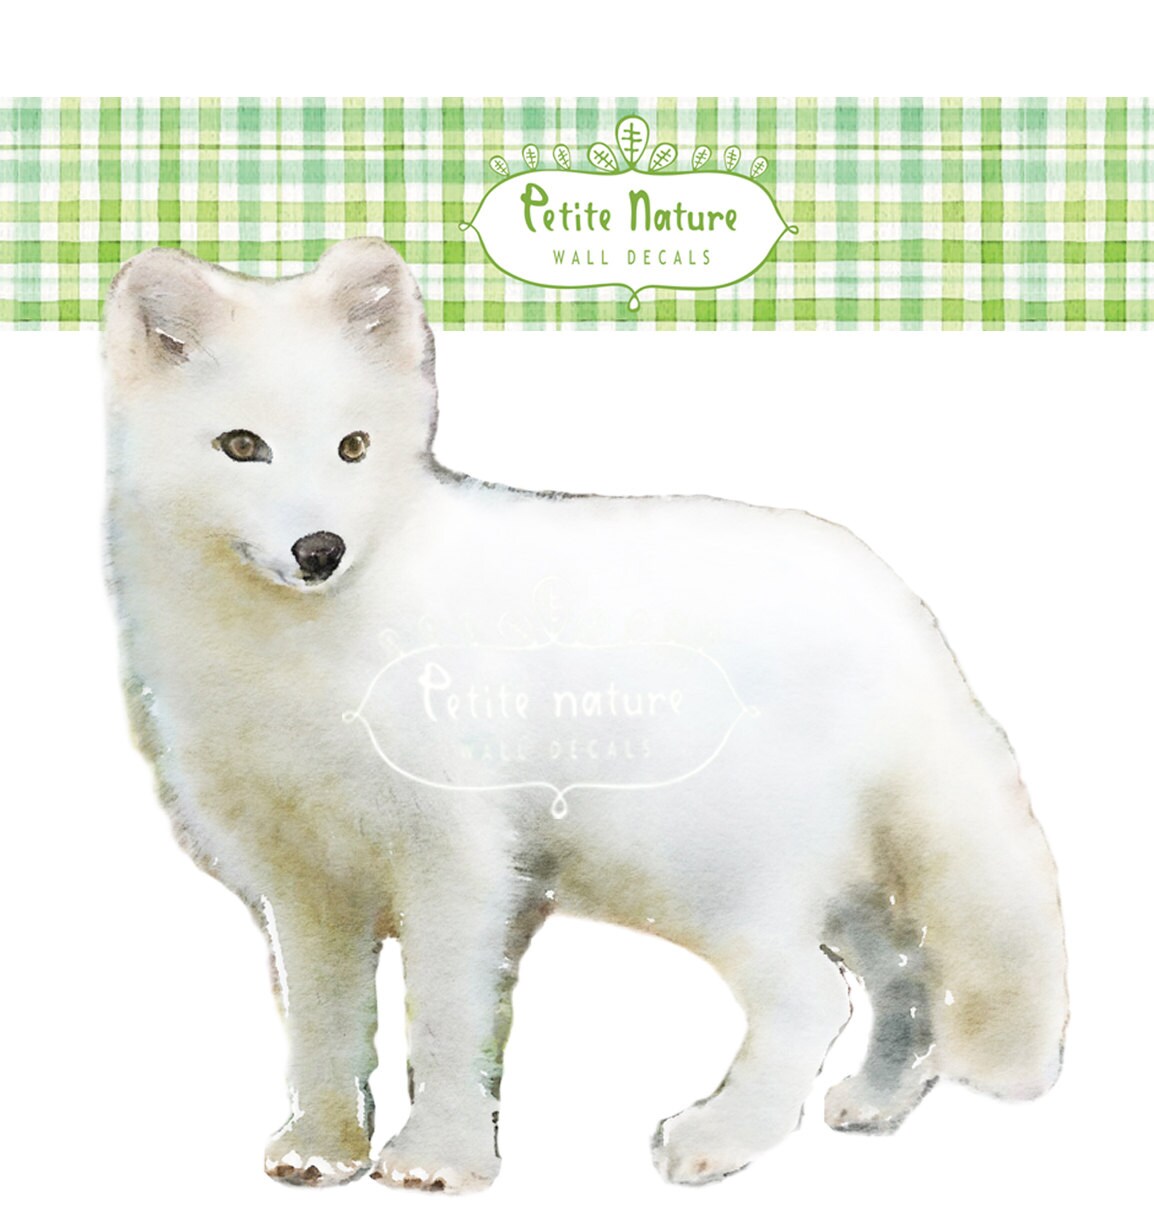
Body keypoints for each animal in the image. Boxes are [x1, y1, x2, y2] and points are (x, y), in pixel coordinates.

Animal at [103, 237, 1068, 1192]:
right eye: (241, 445)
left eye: (353, 446)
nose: (320, 550)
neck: (300, 649)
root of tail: (898, 609)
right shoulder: (306, 882)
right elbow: (321, 1027)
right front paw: (323, 1146)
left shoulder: (456, 859)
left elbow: (444, 1018)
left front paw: (440, 1158)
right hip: (842, 882)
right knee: (905, 971)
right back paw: (875, 1101)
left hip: (706, 868)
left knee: (814, 996)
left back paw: (718, 1137)